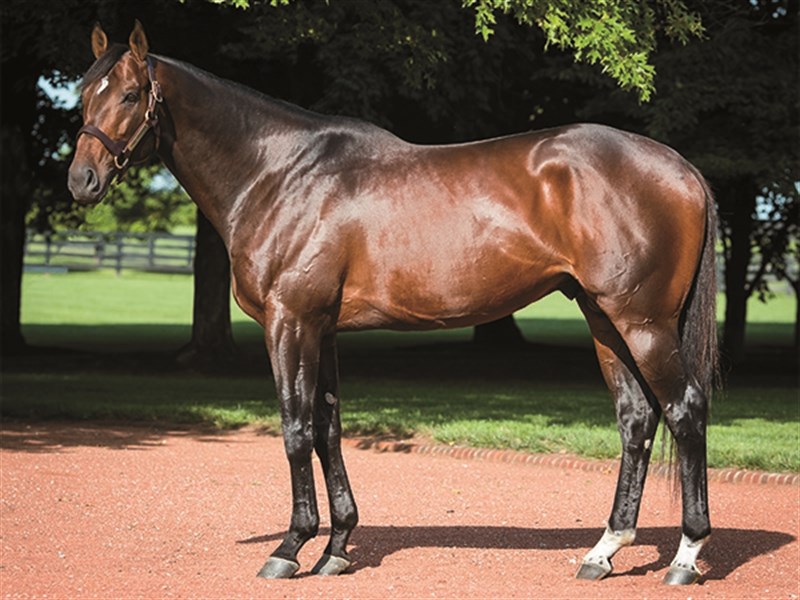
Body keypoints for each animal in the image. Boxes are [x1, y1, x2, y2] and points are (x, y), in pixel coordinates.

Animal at [68, 21, 718, 585]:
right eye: (82, 96)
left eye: (130, 94)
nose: (82, 181)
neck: (279, 174)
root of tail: (681, 167)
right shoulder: (322, 329)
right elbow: (328, 428)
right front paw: (335, 547)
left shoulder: (289, 323)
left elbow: (295, 429)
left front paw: (290, 547)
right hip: (603, 318)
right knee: (636, 419)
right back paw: (603, 551)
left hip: (643, 321)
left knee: (684, 411)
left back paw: (686, 555)